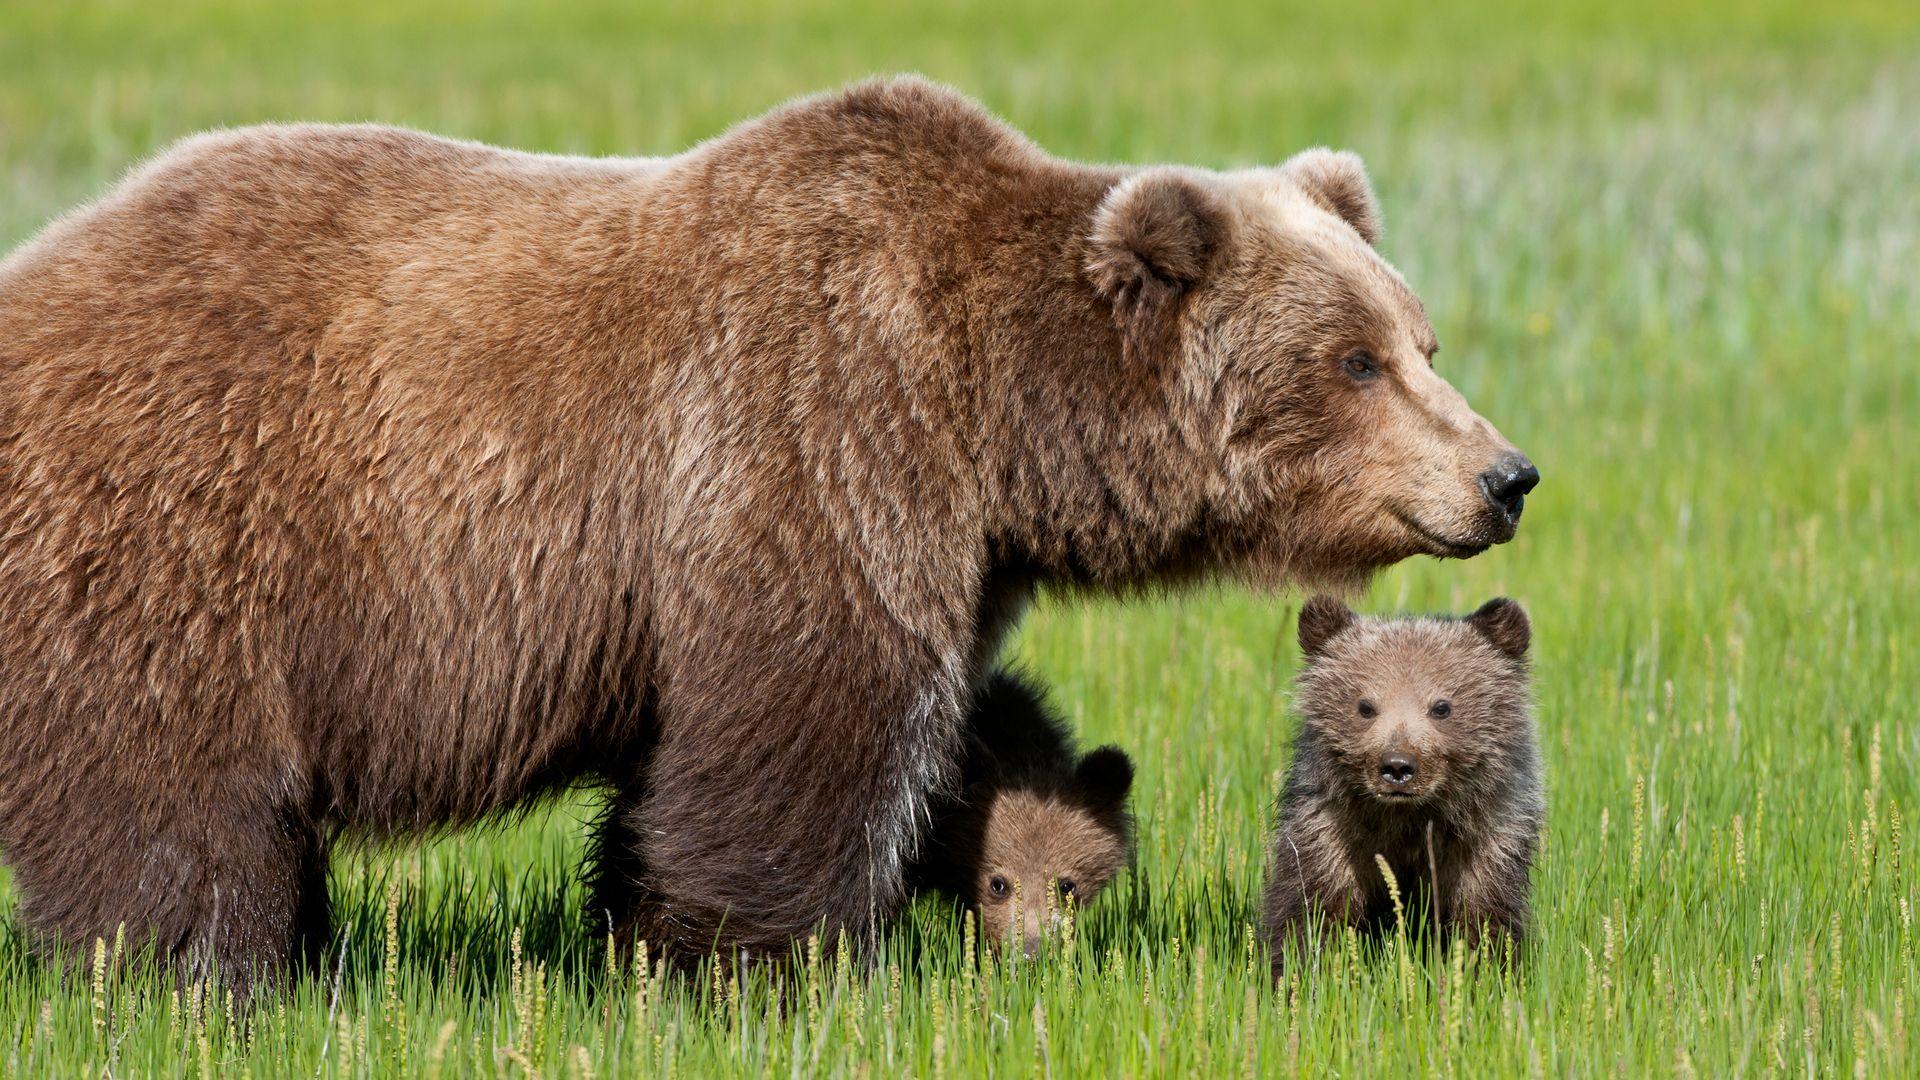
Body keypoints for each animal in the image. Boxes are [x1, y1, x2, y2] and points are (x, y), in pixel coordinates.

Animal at [1262, 596, 1543, 967]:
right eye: (1365, 706)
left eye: (1441, 706)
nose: (1397, 766)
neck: (1407, 820)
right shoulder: (1330, 832)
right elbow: (1312, 910)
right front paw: (1299, 967)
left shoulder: (1487, 838)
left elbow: (1483, 918)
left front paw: (1482, 966)